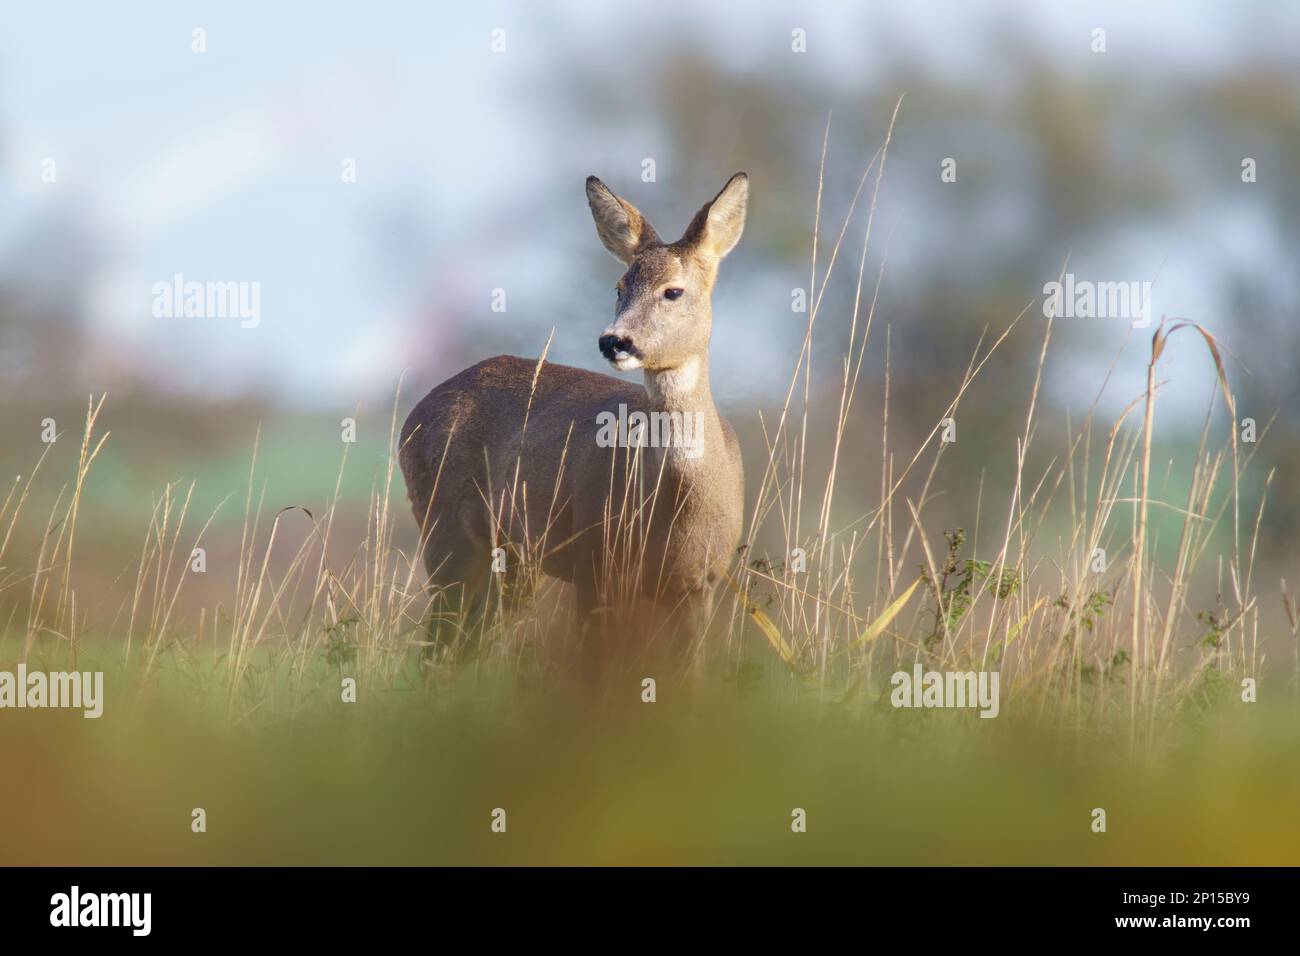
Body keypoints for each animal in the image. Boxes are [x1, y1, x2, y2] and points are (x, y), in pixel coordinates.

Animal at [399, 172, 748, 679]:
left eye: (673, 291)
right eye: (620, 286)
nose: (614, 341)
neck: (680, 500)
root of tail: (415, 412)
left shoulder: (699, 583)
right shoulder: (593, 566)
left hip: (516, 562)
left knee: (465, 643)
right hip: (444, 528)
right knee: (437, 645)